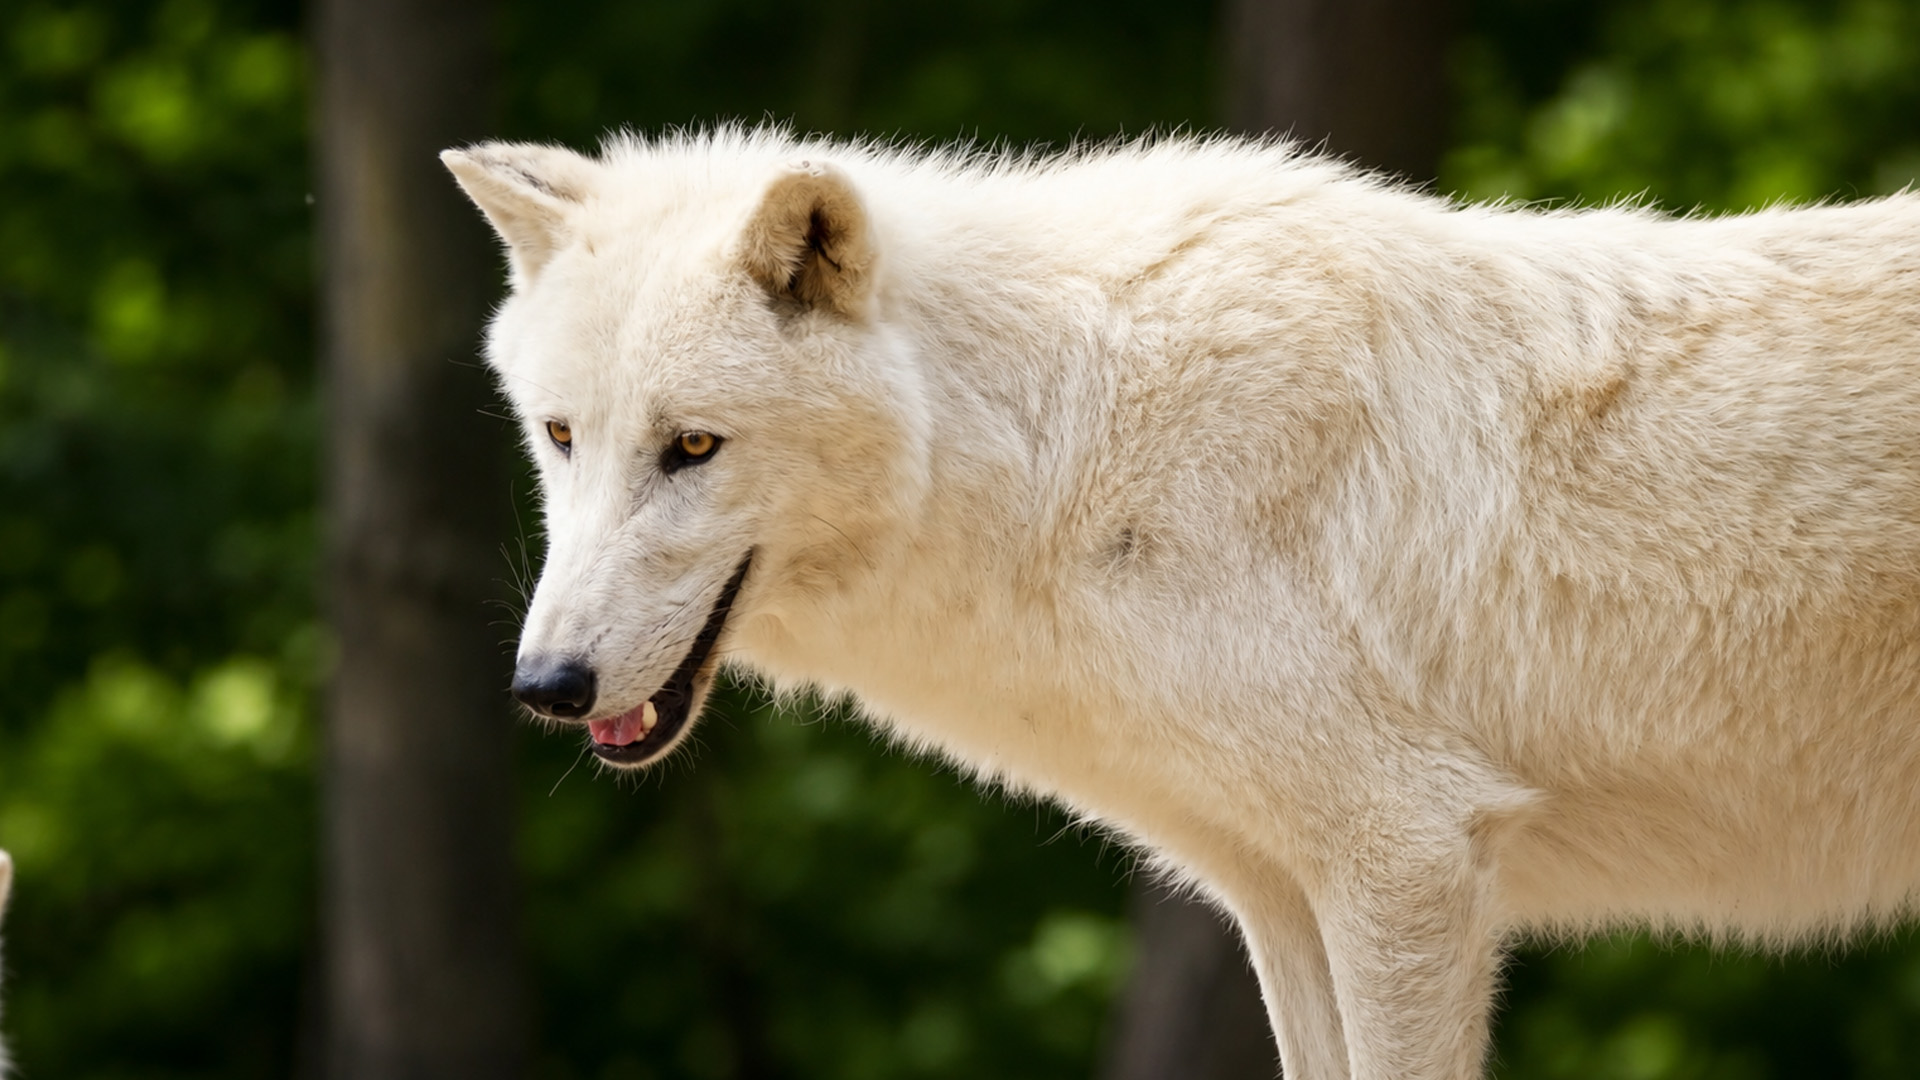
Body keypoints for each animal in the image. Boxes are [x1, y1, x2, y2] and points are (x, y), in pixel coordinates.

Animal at [443, 129, 1920, 1080]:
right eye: (562, 436)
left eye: (693, 447)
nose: (547, 687)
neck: (1071, 451)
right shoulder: (1283, 889)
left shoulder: (1406, 858)